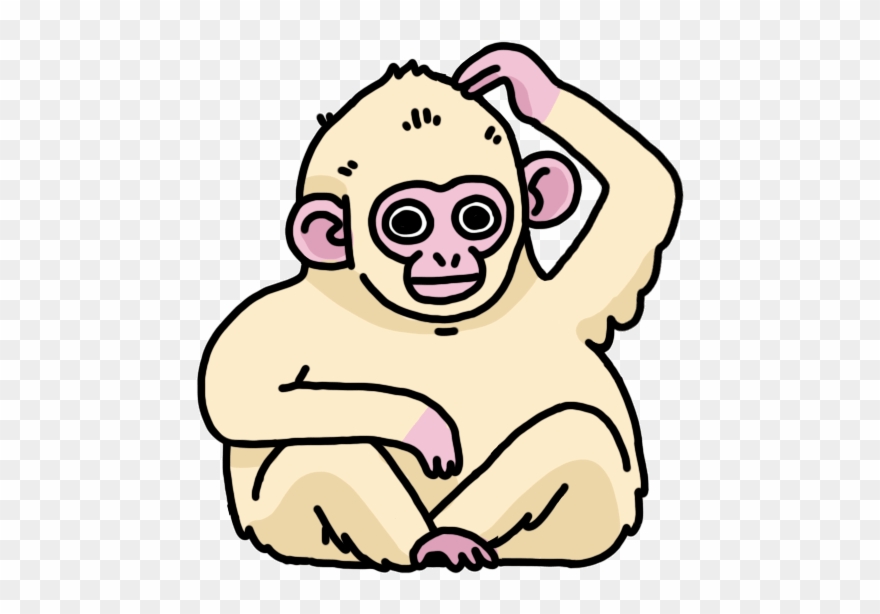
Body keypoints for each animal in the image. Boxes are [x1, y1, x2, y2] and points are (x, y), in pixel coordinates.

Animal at [197, 43, 682, 572]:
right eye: (407, 223)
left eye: (476, 217)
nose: (448, 255)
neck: (432, 325)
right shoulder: (269, 317)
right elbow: (239, 399)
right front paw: (425, 424)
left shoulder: (564, 302)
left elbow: (645, 198)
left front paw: (528, 83)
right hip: (285, 525)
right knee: (329, 445)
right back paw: (427, 544)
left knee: (578, 433)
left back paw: (461, 539)